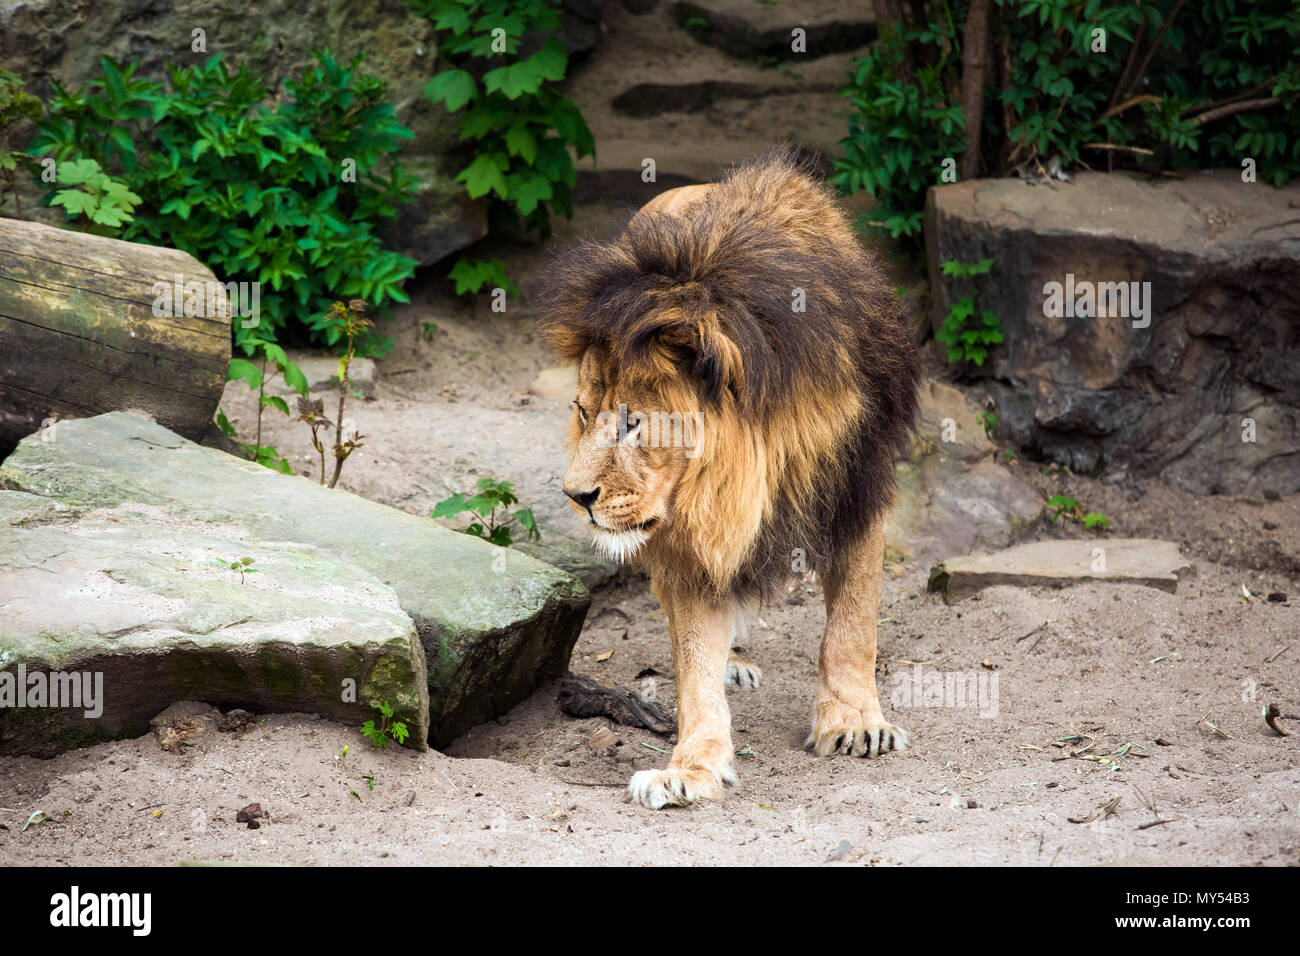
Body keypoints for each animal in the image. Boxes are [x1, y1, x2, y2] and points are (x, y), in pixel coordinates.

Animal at [538, 147, 921, 809]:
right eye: (584, 413)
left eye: (634, 422)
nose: (576, 496)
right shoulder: (687, 541)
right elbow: (693, 662)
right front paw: (690, 766)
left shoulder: (857, 493)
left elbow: (852, 623)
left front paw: (854, 723)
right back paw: (731, 664)